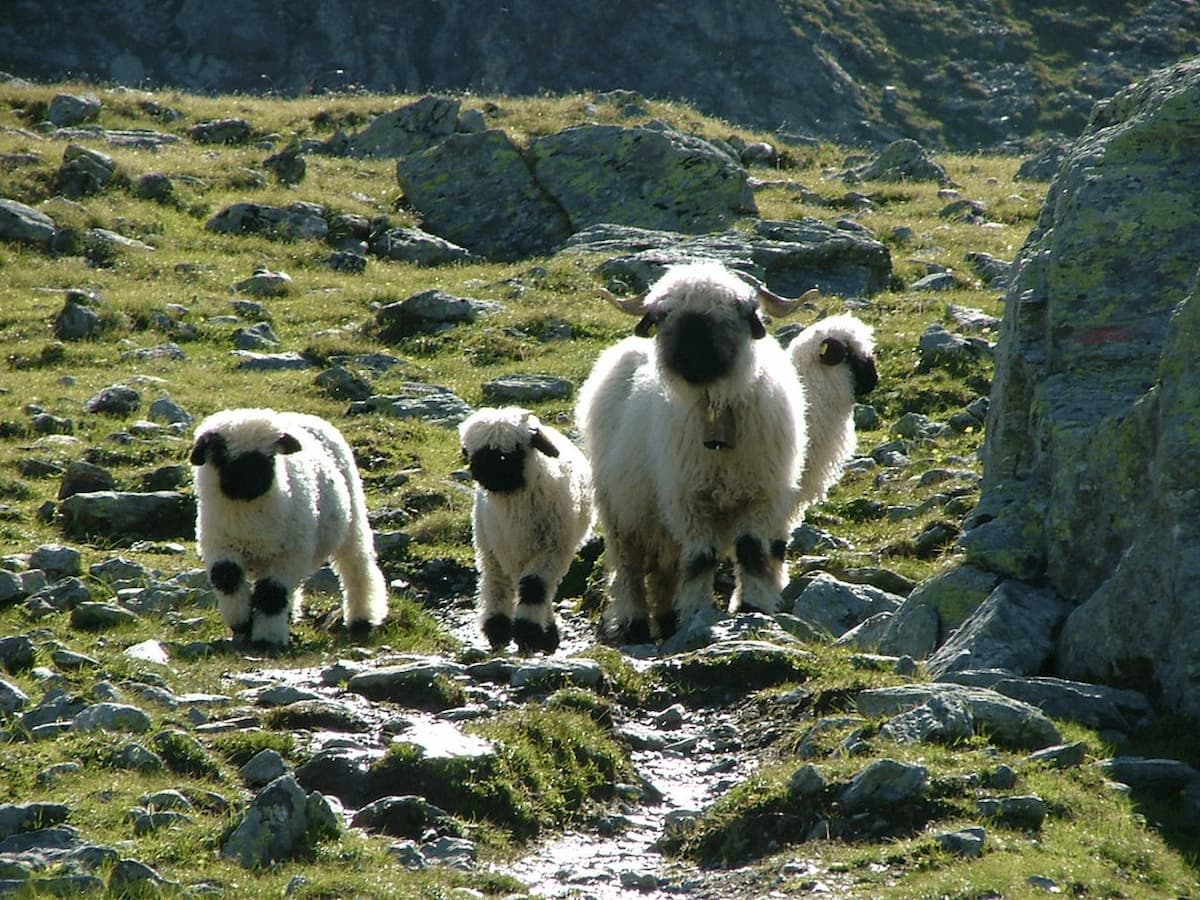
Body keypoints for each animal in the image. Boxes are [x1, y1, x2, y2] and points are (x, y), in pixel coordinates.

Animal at [189, 408, 389, 646]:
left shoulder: (288, 555)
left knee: (357, 569)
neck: (249, 514)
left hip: (352, 521)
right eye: (221, 456)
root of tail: (301, 415)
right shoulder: (220, 547)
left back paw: (362, 619)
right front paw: (242, 621)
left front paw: (268, 639)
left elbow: (271, 594)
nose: (251, 483)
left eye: (270, 456)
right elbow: (228, 580)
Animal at [458, 406, 593, 654]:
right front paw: (503, 633)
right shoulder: (500, 551)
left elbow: (534, 587)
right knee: (498, 582)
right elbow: (501, 586)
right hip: (492, 546)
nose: (488, 473)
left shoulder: (550, 550)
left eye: (516, 448)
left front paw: (528, 634)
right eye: (476, 451)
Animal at [576, 261, 812, 643]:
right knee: (629, 568)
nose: (692, 360)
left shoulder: (761, 496)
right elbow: (701, 558)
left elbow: (751, 551)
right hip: (619, 511)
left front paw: (752, 606)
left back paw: (666, 618)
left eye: (734, 312)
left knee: (664, 570)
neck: (714, 405)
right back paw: (635, 624)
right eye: (662, 317)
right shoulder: (689, 499)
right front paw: (697, 612)